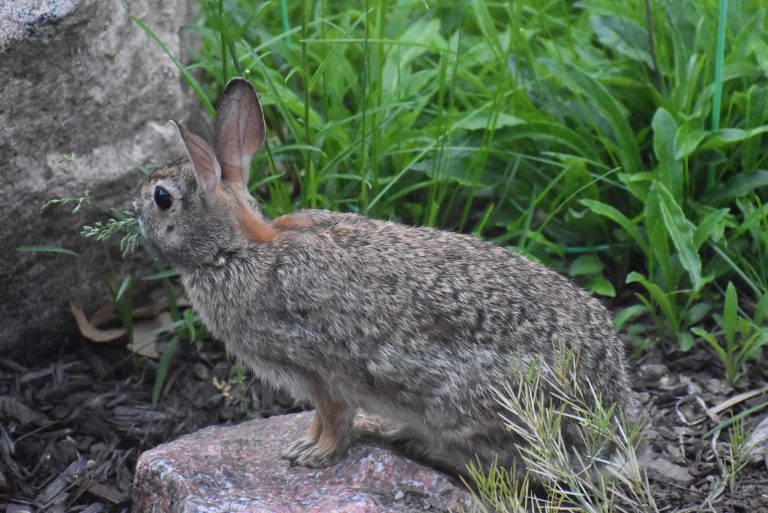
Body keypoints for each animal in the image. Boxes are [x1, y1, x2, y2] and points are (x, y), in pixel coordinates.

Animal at [133, 77, 638, 477]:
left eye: (162, 198)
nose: (132, 206)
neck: (240, 250)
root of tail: (606, 418)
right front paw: (306, 445)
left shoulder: (320, 371)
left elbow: (334, 418)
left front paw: (312, 454)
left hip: (469, 407)